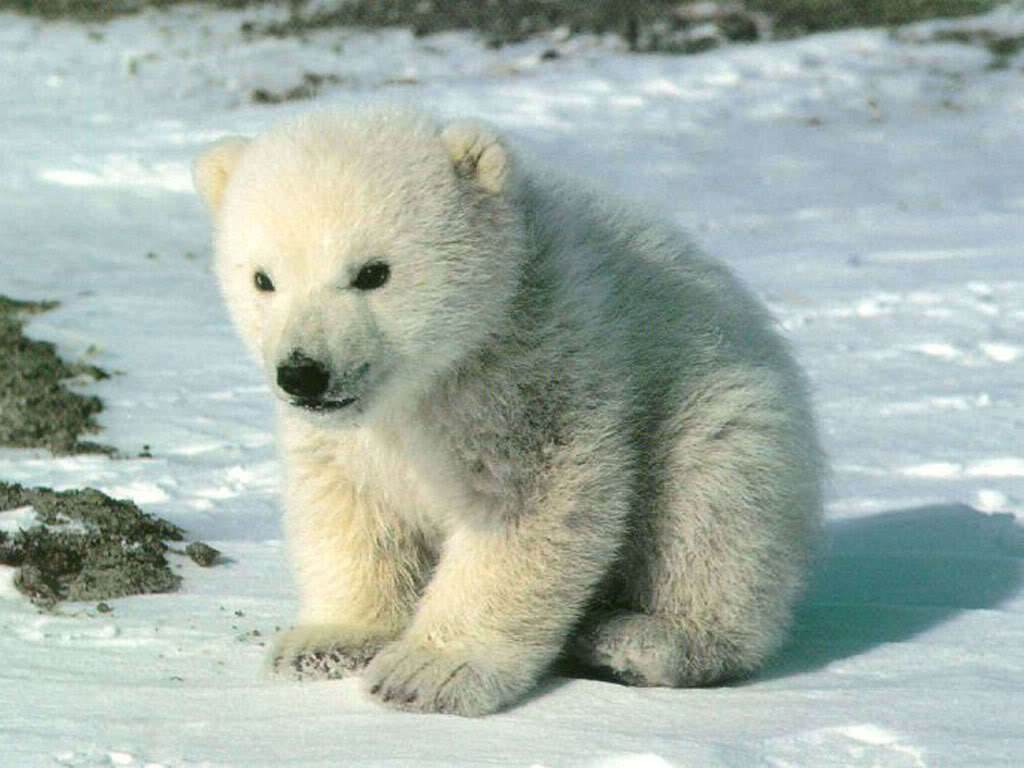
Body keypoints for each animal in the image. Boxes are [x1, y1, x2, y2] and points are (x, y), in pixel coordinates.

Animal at [193, 106, 824, 717]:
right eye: (263, 279)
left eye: (373, 272)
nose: (303, 372)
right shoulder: (353, 435)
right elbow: (350, 504)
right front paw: (324, 643)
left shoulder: (536, 362)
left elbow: (526, 505)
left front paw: (428, 672)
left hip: (721, 404)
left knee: (712, 512)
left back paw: (643, 639)